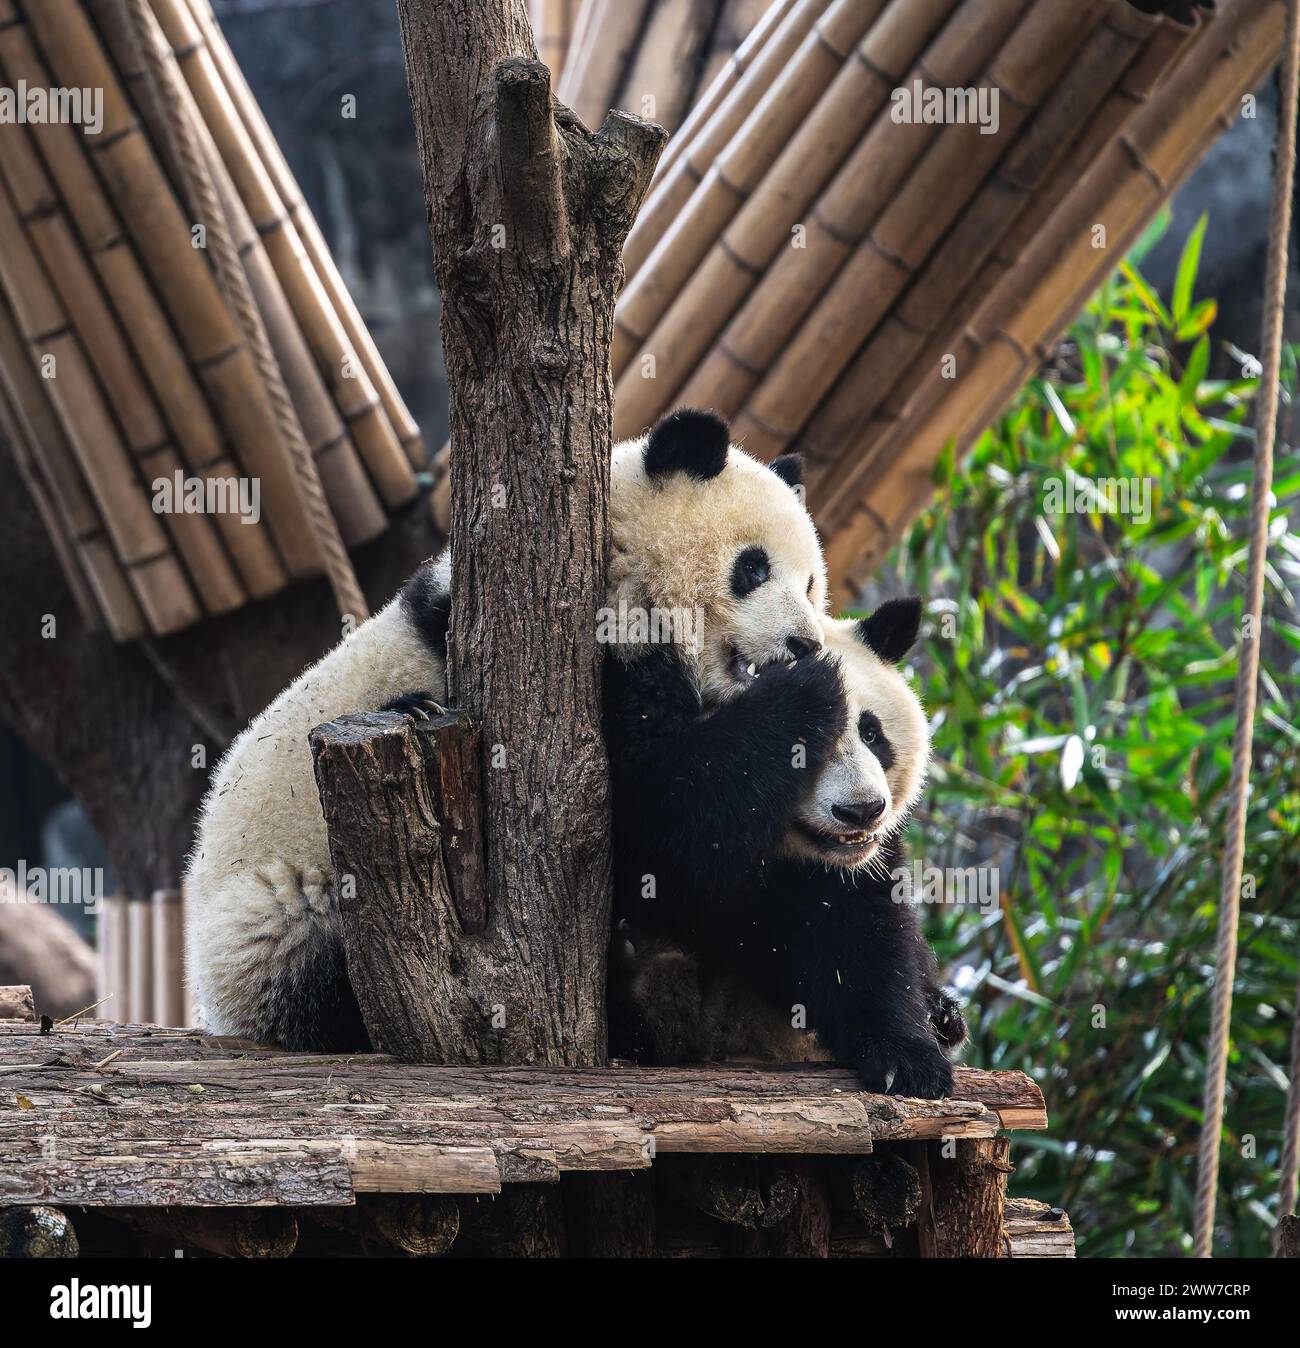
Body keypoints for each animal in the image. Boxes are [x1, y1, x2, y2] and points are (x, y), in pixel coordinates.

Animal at [185, 409, 830, 1051]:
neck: (620, 567)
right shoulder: (588, 669)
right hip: (277, 910)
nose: (805, 641)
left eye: (810, 584)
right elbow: (659, 814)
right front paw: (811, 691)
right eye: (753, 567)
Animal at [606, 607, 966, 1099]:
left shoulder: (849, 872)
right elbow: (657, 823)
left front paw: (907, 1062)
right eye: (805, 750)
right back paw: (655, 986)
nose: (861, 811)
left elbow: (862, 942)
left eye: (872, 734)